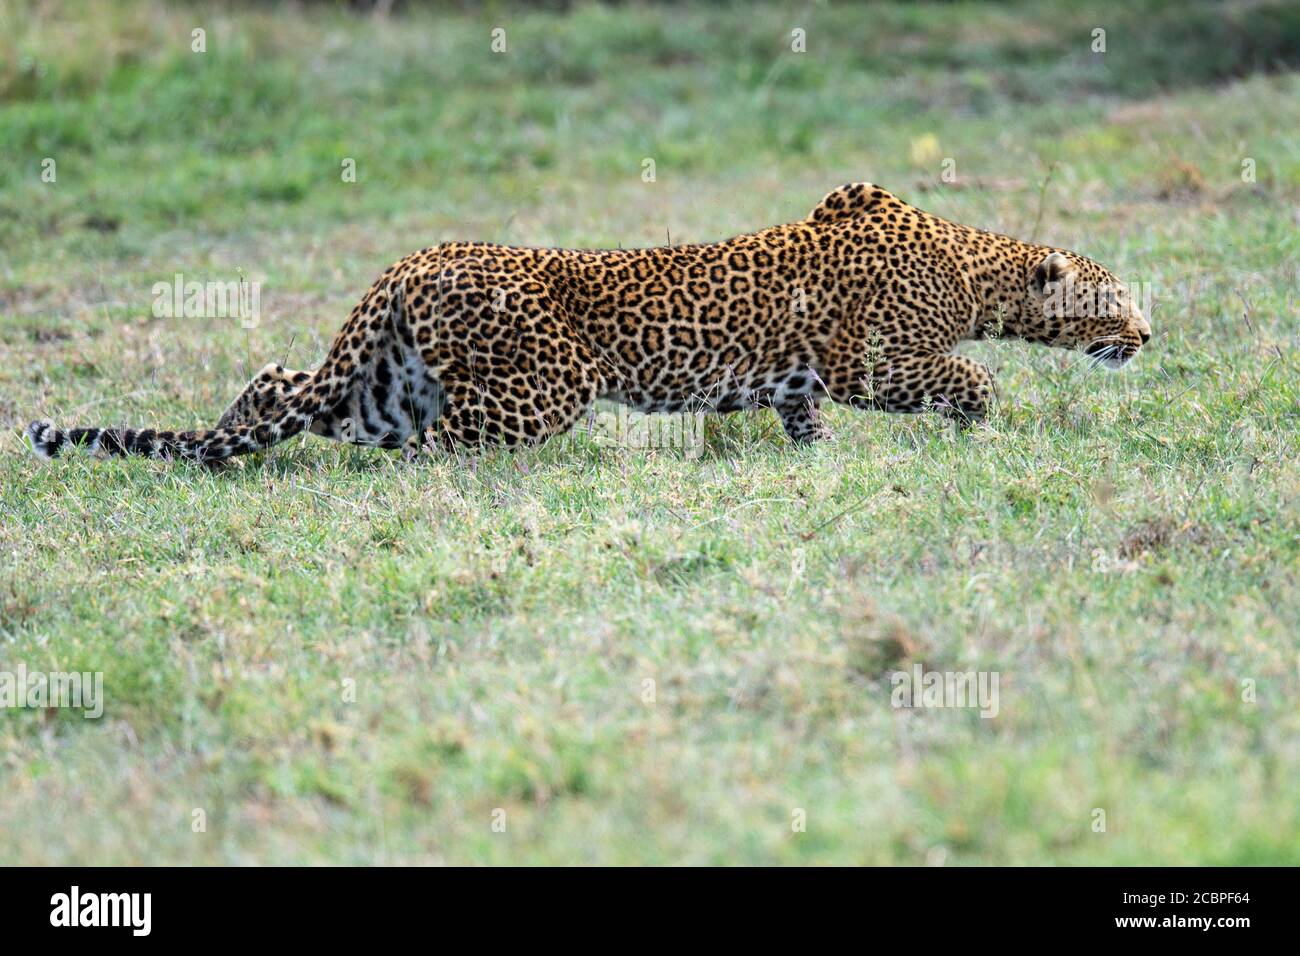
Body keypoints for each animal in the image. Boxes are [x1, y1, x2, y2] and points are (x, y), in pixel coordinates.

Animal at [26, 182, 1151, 465]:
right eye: (1116, 299)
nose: (1147, 337)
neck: (979, 269)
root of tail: (414, 256)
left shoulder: (806, 373)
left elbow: (800, 413)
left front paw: (809, 456)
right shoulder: (872, 359)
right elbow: (966, 377)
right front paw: (981, 416)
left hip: (383, 382)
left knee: (279, 387)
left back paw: (227, 449)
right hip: (539, 387)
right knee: (427, 444)